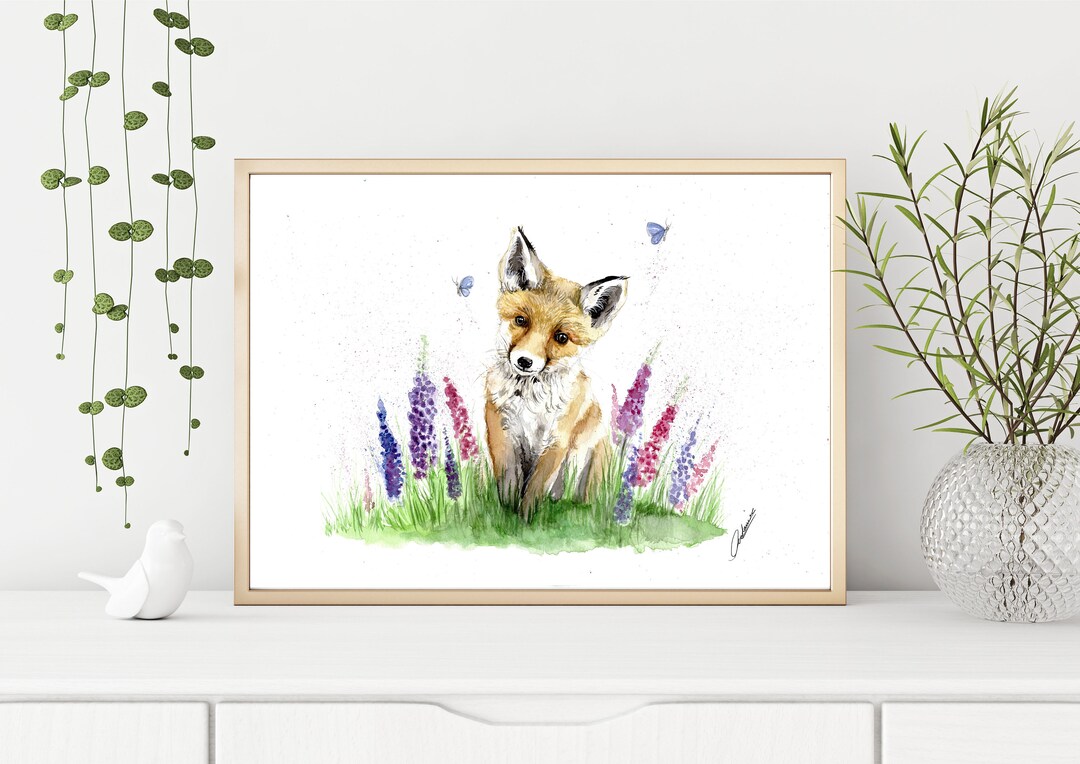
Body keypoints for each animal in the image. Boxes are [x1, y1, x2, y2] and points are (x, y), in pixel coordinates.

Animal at [485, 227, 629, 520]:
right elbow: (508, 486)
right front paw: (505, 520)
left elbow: (533, 491)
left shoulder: (556, 440)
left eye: (561, 337)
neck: (529, 402)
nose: (525, 361)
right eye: (521, 320)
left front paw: (525, 523)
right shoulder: (500, 430)